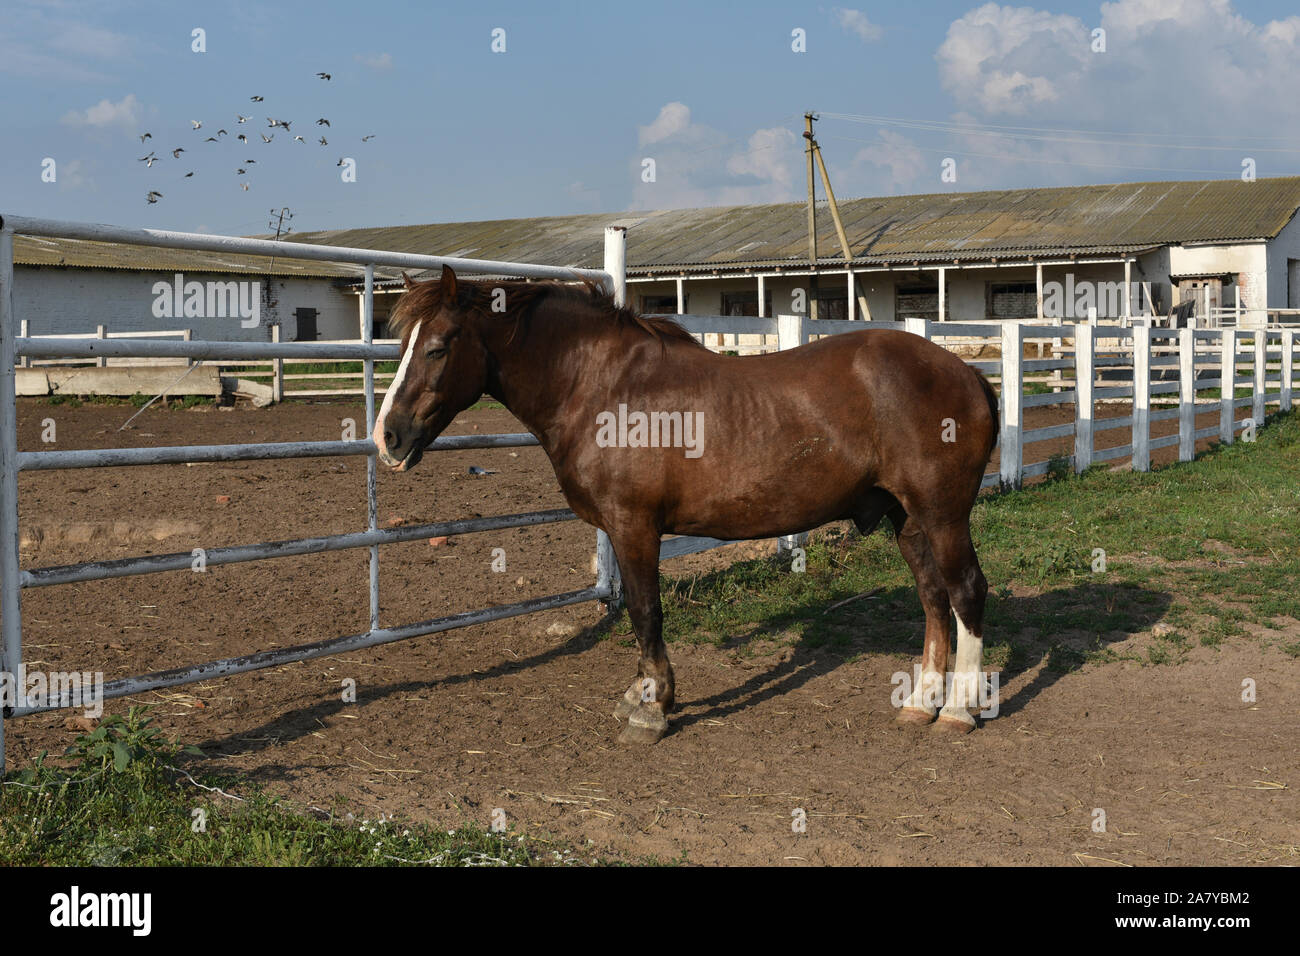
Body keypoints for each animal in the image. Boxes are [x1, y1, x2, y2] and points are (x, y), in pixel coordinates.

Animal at [374, 266, 1000, 744]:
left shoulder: (634, 526)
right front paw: (640, 694)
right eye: (400, 347)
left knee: (966, 590)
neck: (602, 388)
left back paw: (958, 710)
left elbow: (645, 611)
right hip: (907, 517)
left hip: (941, 515)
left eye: (436, 348)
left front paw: (653, 707)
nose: (389, 437)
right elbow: (638, 612)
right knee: (933, 597)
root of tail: (966, 372)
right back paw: (921, 701)